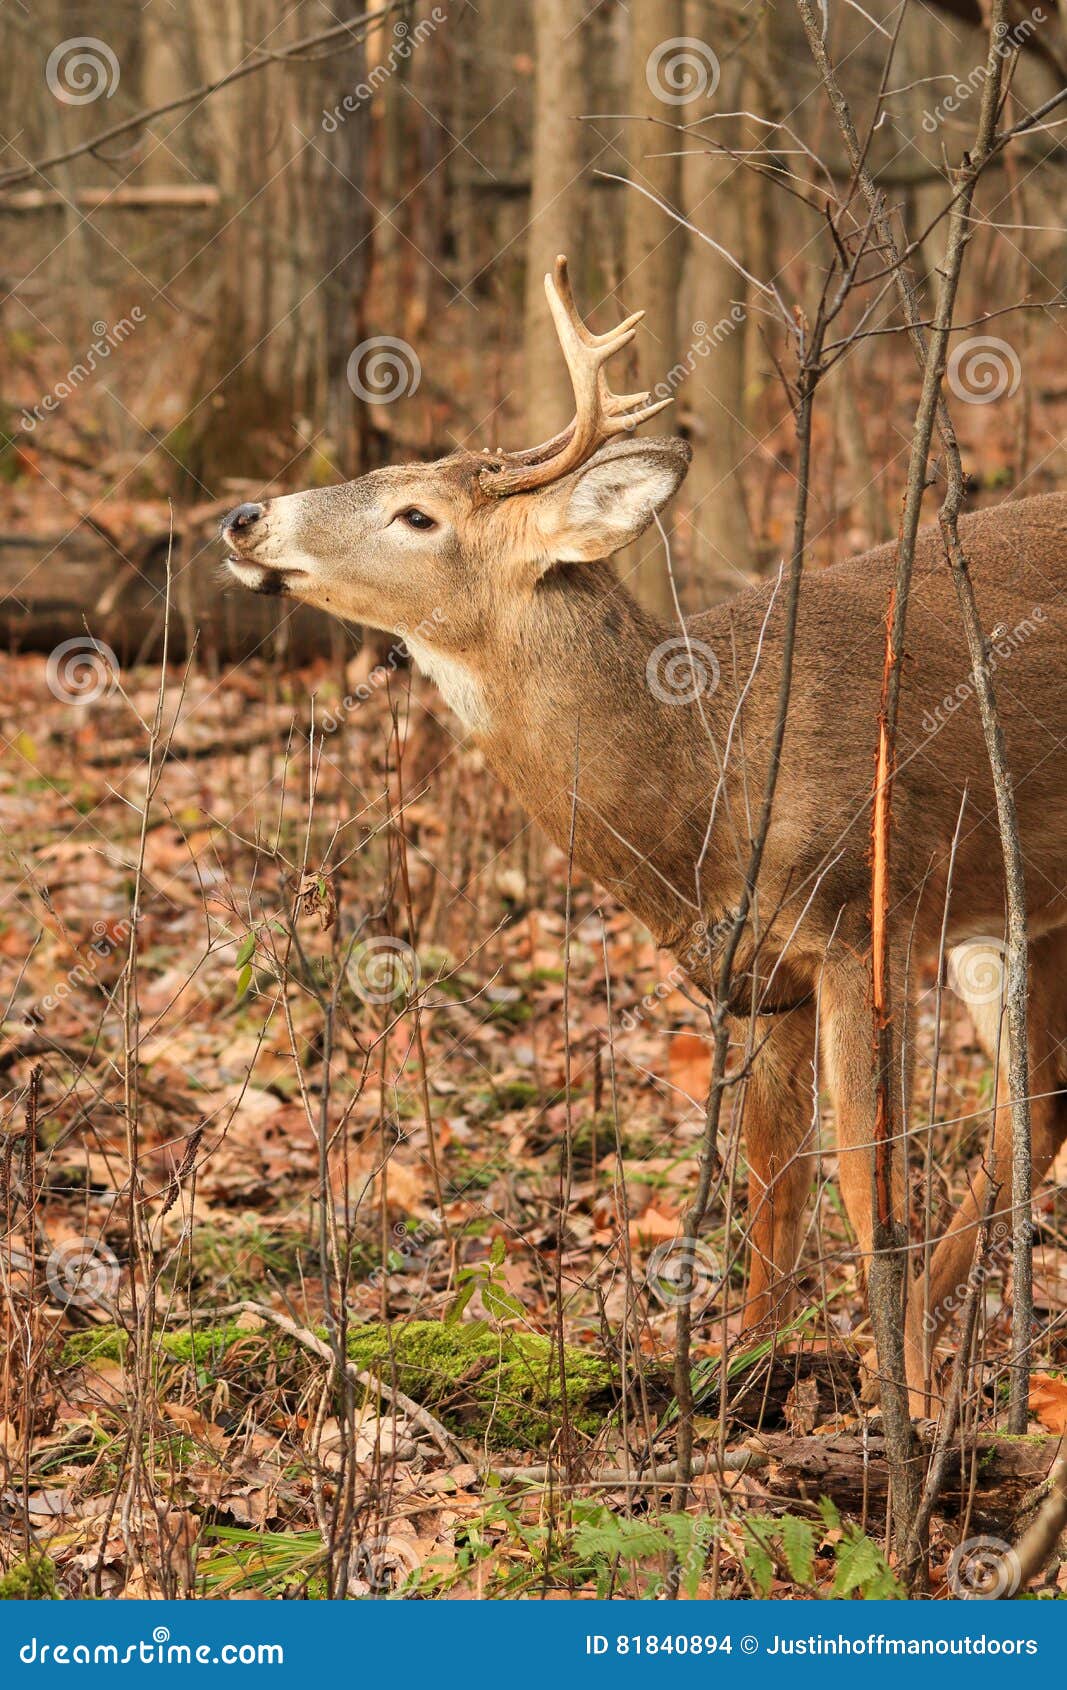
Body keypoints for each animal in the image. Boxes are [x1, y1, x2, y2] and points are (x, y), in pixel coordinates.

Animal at [223, 256, 1067, 1418]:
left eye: (416, 514)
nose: (244, 515)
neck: (704, 782)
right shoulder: (757, 974)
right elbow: (772, 1192)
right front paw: (748, 1374)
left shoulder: (864, 921)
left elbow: (866, 1182)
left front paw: (903, 1403)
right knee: (1039, 1104)